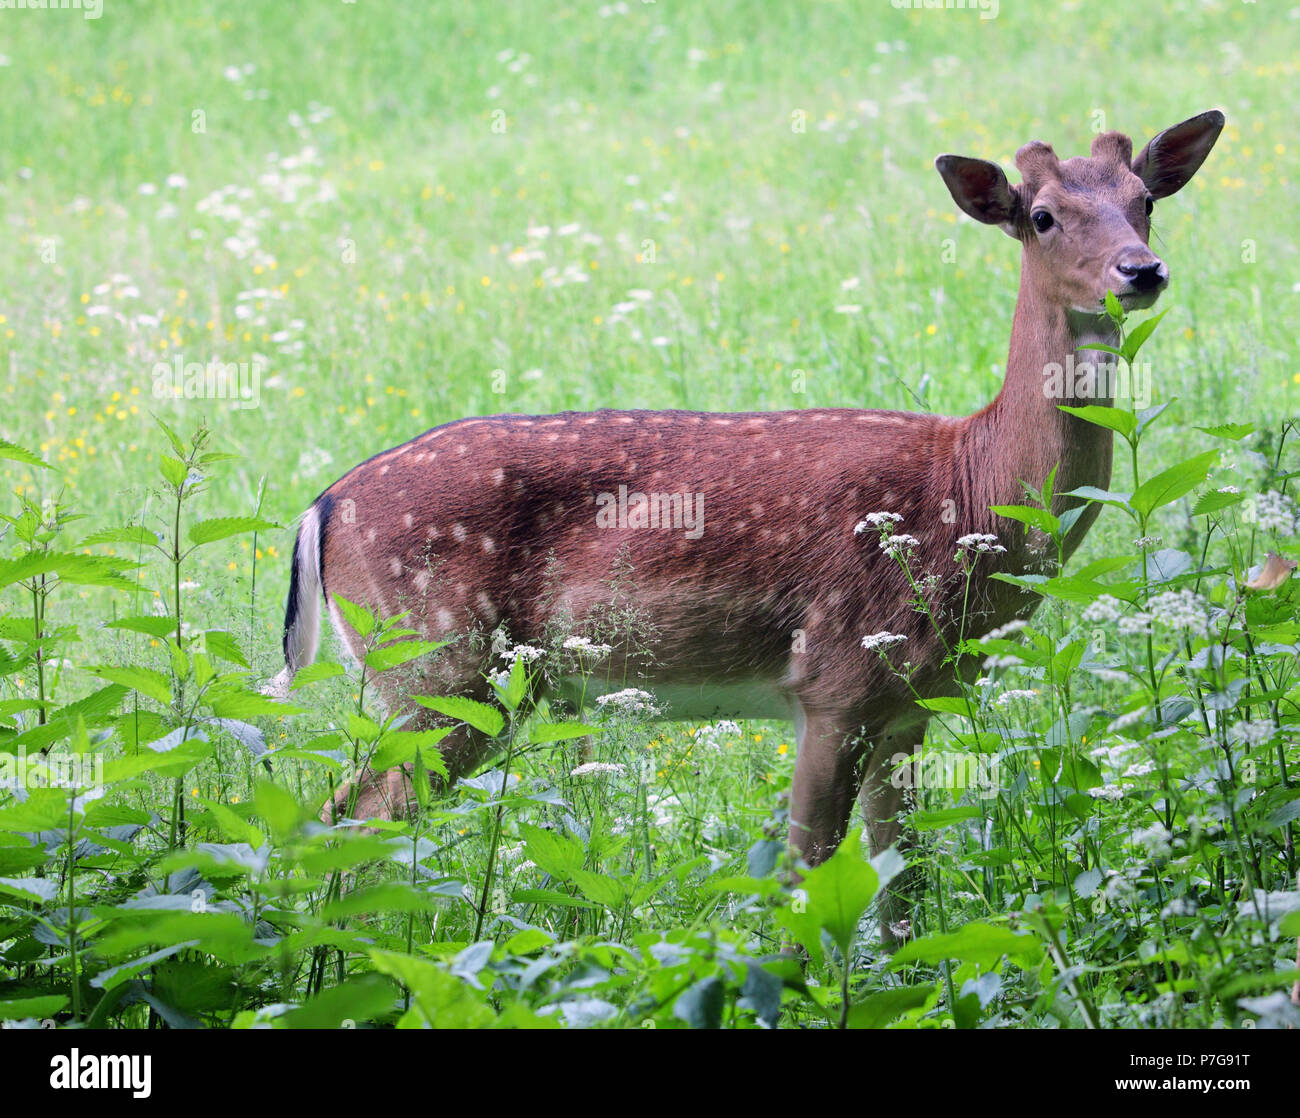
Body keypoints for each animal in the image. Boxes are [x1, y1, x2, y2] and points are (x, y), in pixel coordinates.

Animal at [268, 111, 1223, 942]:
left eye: (1145, 197)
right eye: (1042, 215)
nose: (1142, 270)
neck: (969, 489)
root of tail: (321, 505)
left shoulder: (911, 703)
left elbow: (903, 886)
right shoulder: (834, 678)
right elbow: (805, 875)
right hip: (438, 664)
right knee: (348, 818)